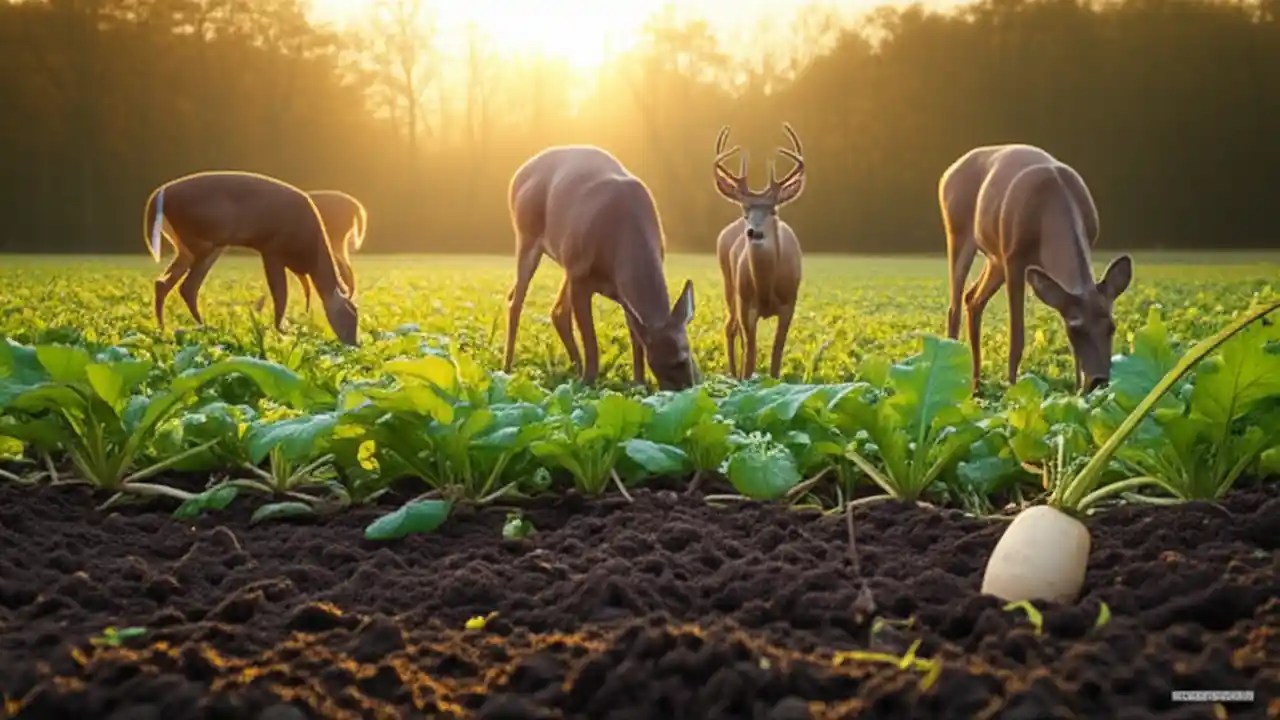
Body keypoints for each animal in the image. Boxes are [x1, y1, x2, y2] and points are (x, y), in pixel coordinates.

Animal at [143, 170, 360, 346]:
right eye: (350, 316)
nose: (354, 344)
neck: (311, 256)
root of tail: (157, 197)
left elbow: (300, 289)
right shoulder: (272, 248)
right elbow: (281, 294)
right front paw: (281, 331)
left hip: (195, 247)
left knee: (171, 284)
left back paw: (175, 329)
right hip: (202, 240)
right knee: (185, 285)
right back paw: (198, 328)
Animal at [503, 145, 697, 391]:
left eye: (688, 354)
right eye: (674, 362)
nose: (692, 388)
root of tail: (518, 173)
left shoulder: (621, 291)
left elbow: (635, 338)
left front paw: (638, 383)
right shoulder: (580, 277)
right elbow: (591, 342)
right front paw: (588, 383)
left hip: (566, 260)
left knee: (557, 311)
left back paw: (574, 368)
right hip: (527, 236)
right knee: (516, 301)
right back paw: (507, 368)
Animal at [711, 123, 805, 379]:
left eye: (773, 210)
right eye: (746, 211)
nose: (754, 232)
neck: (766, 288)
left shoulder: (789, 303)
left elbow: (776, 354)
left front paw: (773, 382)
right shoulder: (747, 304)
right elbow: (751, 358)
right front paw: (747, 383)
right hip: (729, 286)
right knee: (730, 327)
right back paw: (733, 375)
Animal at [939, 143, 1133, 393]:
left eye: (1112, 326)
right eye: (1076, 329)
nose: (1098, 381)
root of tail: (947, 173)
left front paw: (1076, 391)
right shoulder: (1014, 258)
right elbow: (1017, 338)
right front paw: (1014, 391)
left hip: (995, 258)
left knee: (972, 299)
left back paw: (976, 386)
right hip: (959, 233)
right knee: (954, 307)